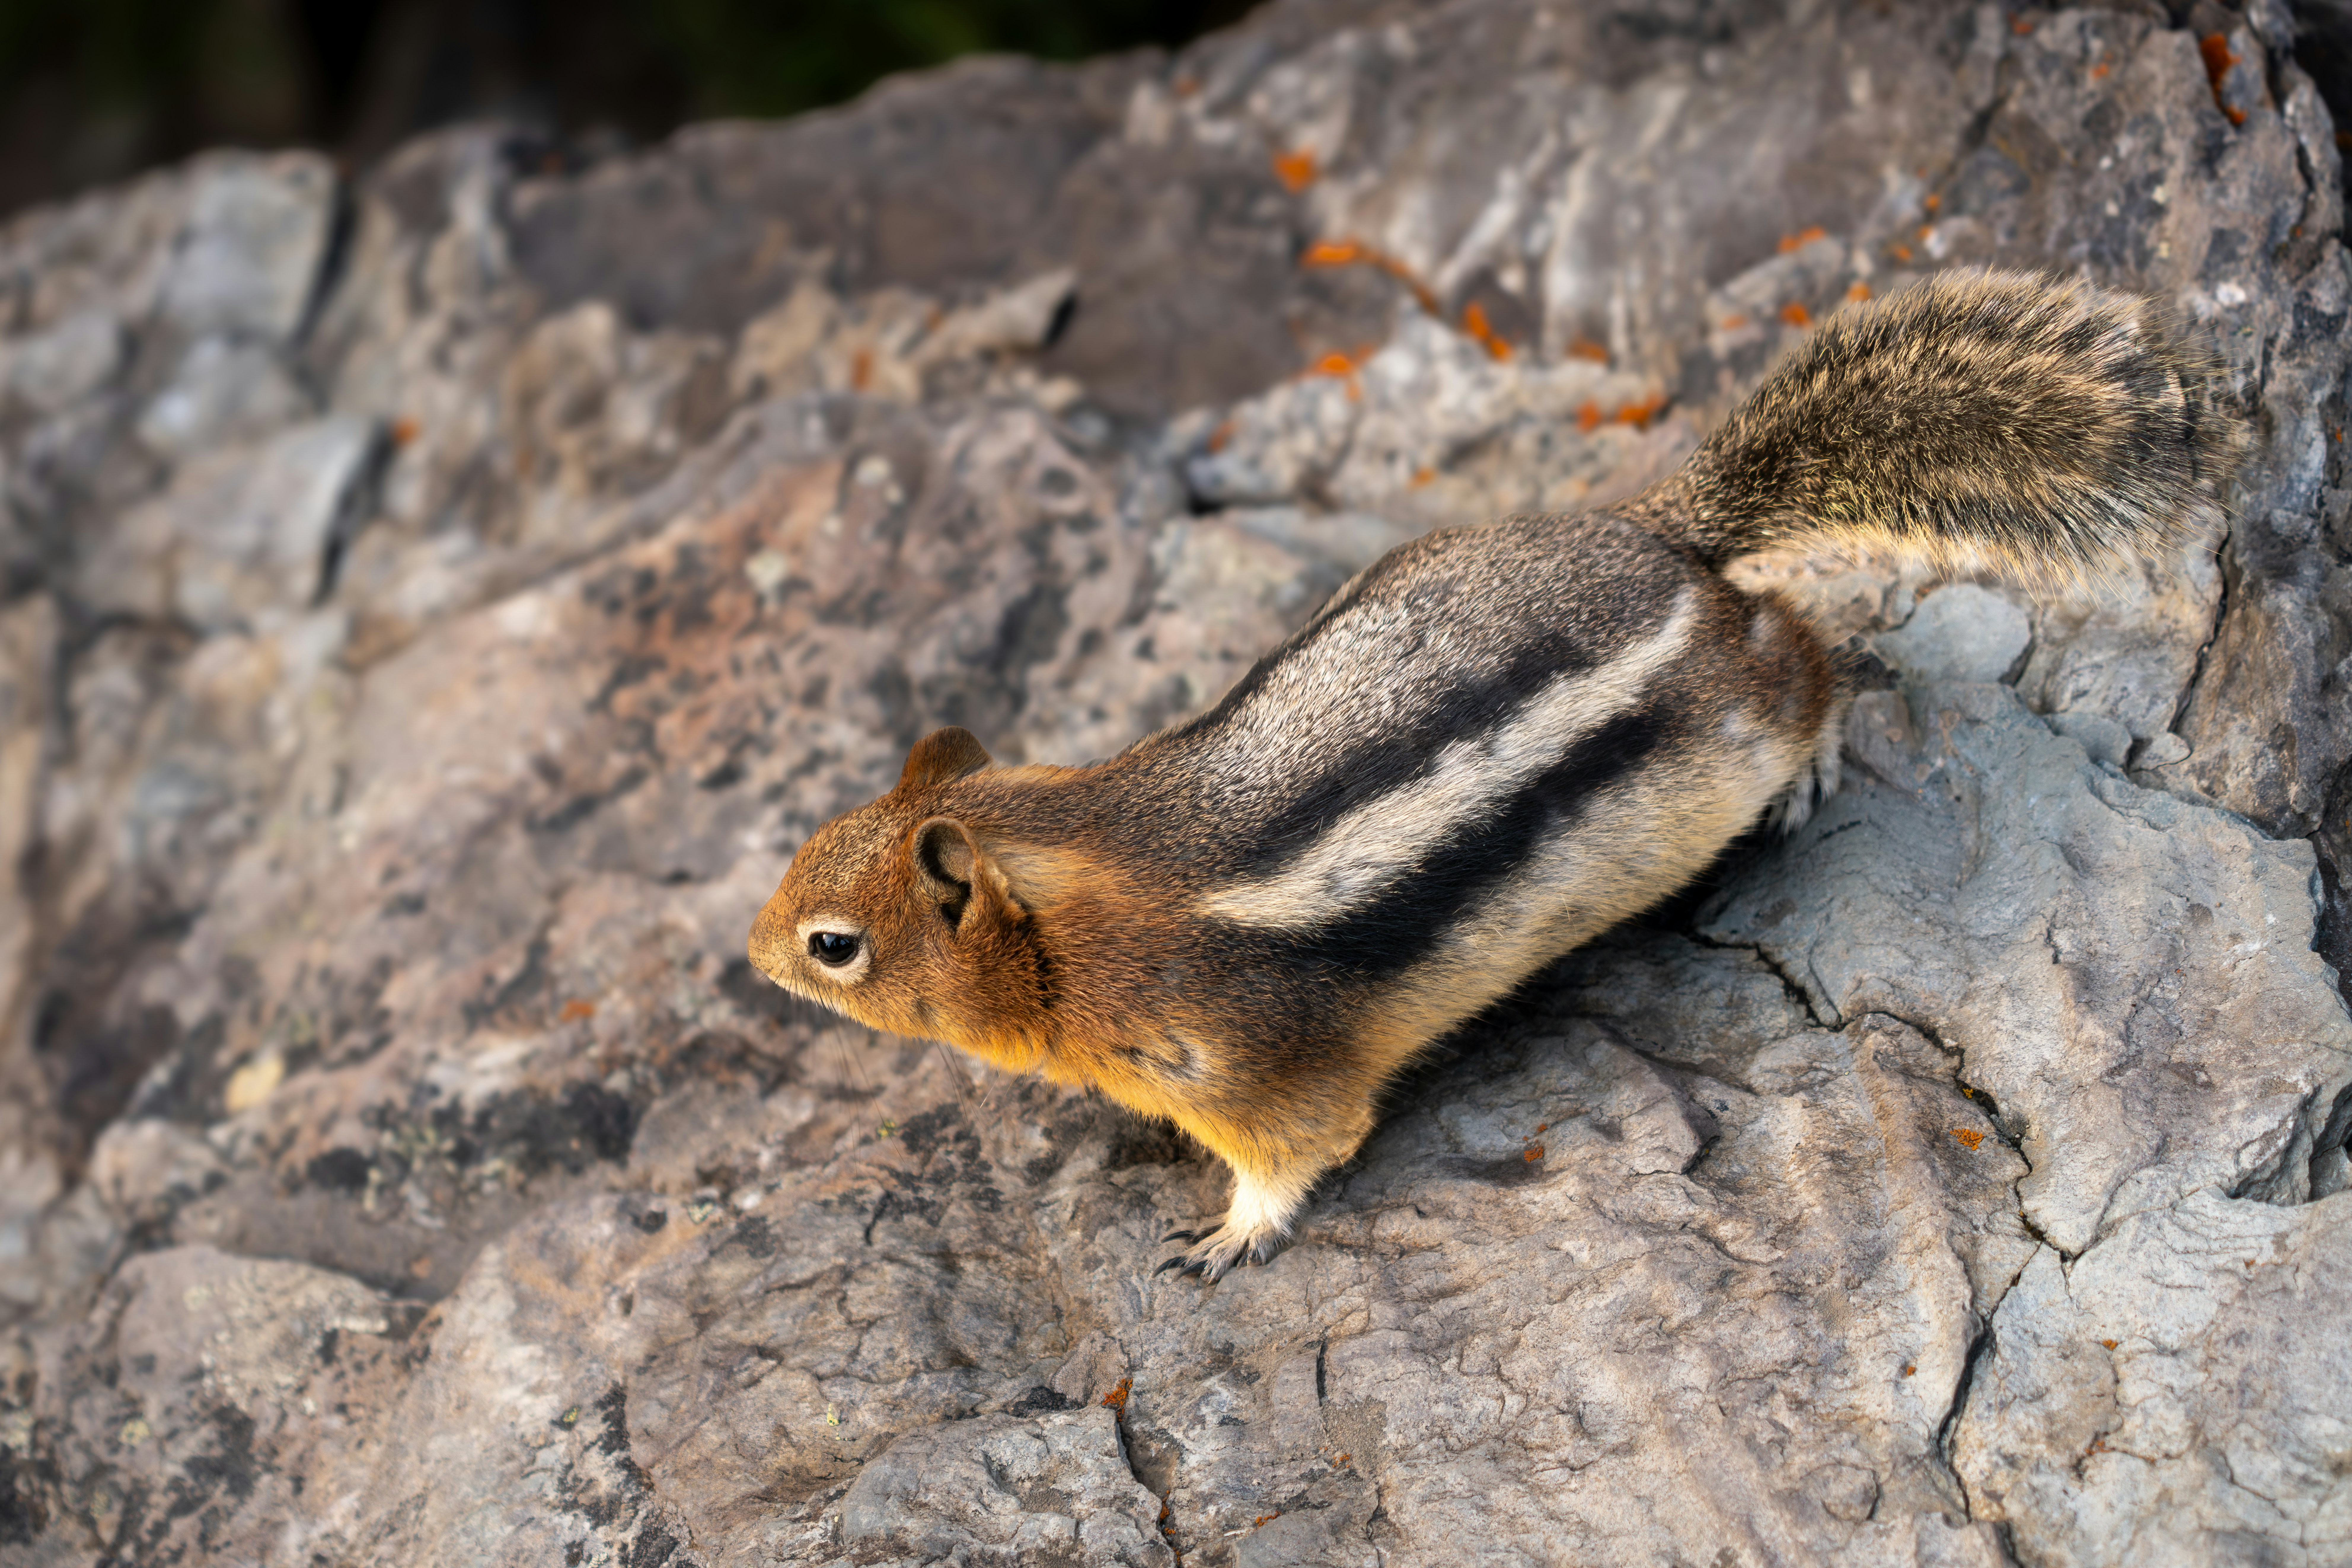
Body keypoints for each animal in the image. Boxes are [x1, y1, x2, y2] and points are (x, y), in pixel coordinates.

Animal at [747, 271, 2241, 1282]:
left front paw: (1225, 1235)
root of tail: (1658, 535)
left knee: (1812, 650)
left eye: (834, 943)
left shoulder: (1257, 1069)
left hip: (1730, 727)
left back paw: (1814, 754)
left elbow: (1299, 1153)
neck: (1070, 881)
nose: (749, 954)